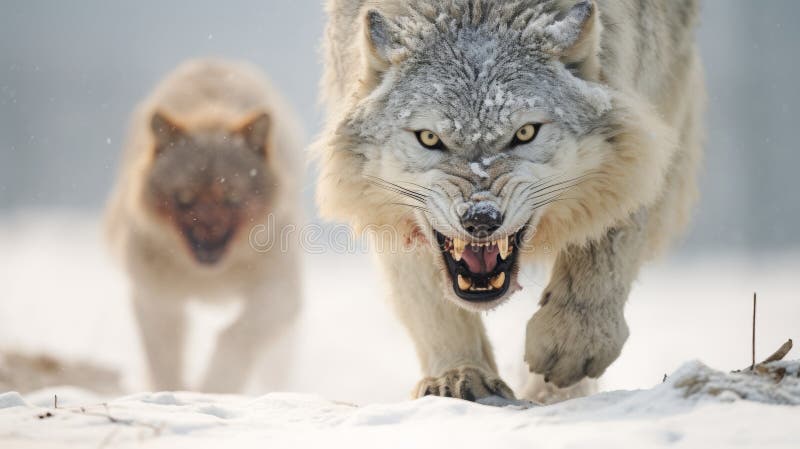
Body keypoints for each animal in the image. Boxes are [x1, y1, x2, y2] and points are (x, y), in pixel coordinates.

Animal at [105, 59, 304, 393]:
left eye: (233, 197)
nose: (208, 234)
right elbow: (165, 361)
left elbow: (236, 336)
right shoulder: (156, 299)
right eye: (185, 197)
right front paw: (174, 393)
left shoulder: (281, 291)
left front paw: (217, 385)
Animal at [317, 0, 704, 402]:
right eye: (429, 138)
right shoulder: (394, 217)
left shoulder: (645, 132)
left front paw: (571, 342)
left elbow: (604, 244)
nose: (481, 218)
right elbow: (431, 304)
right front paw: (458, 375)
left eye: (525, 132)